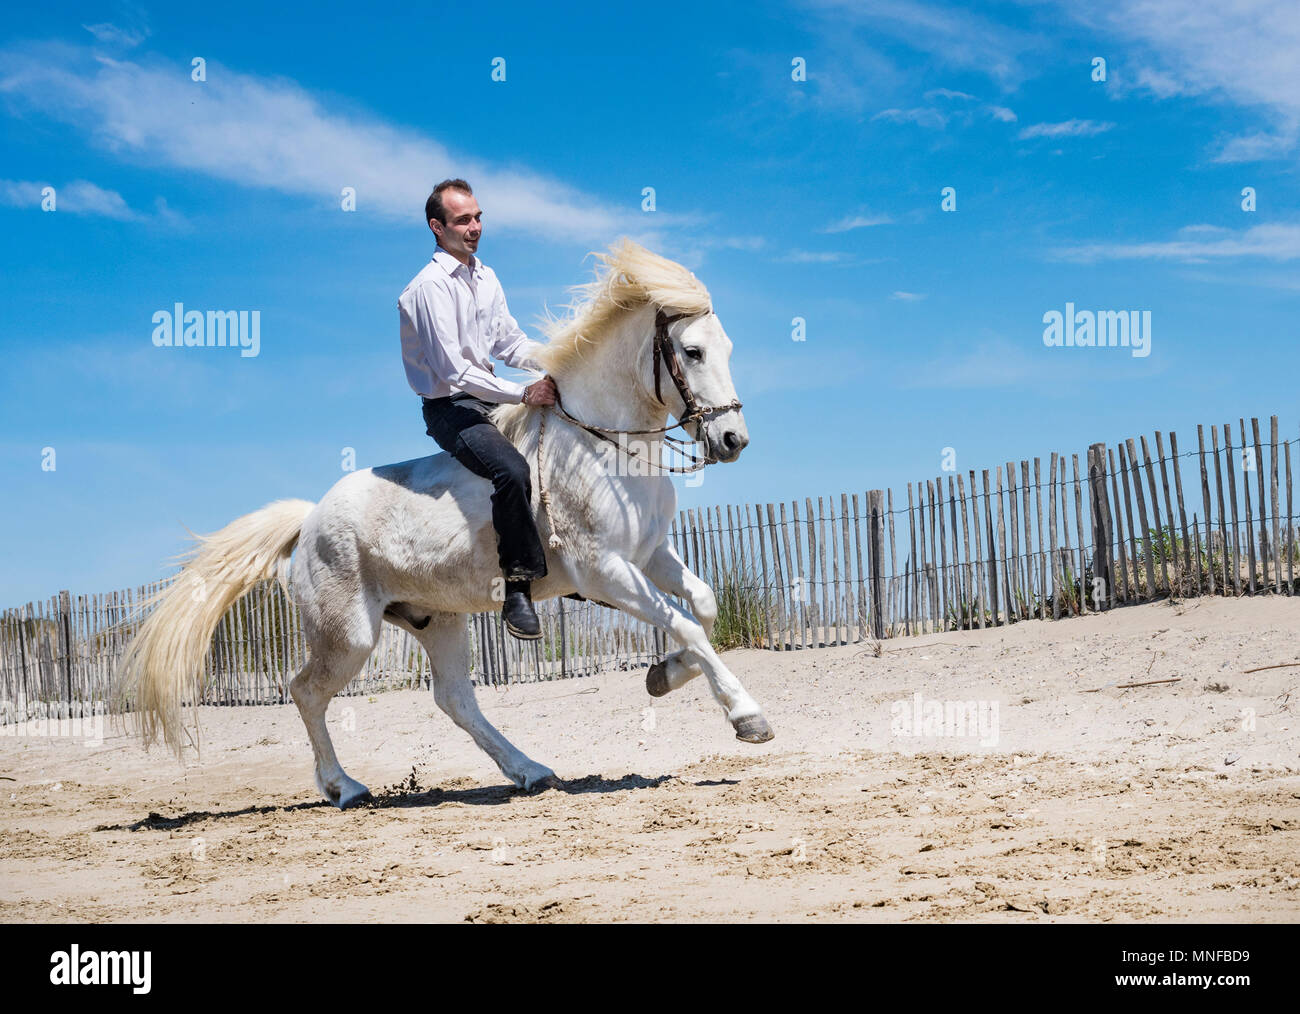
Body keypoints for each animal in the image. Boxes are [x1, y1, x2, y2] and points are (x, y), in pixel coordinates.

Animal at [116, 238, 773, 809]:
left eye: (729, 348)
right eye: (692, 352)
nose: (733, 440)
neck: (606, 446)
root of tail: (309, 519)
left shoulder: (650, 555)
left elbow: (704, 605)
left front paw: (663, 675)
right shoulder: (606, 571)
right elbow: (687, 624)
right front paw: (747, 716)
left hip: (440, 621)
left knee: (454, 699)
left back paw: (530, 771)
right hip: (349, 634)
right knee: (306, 691)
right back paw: (345, 788)